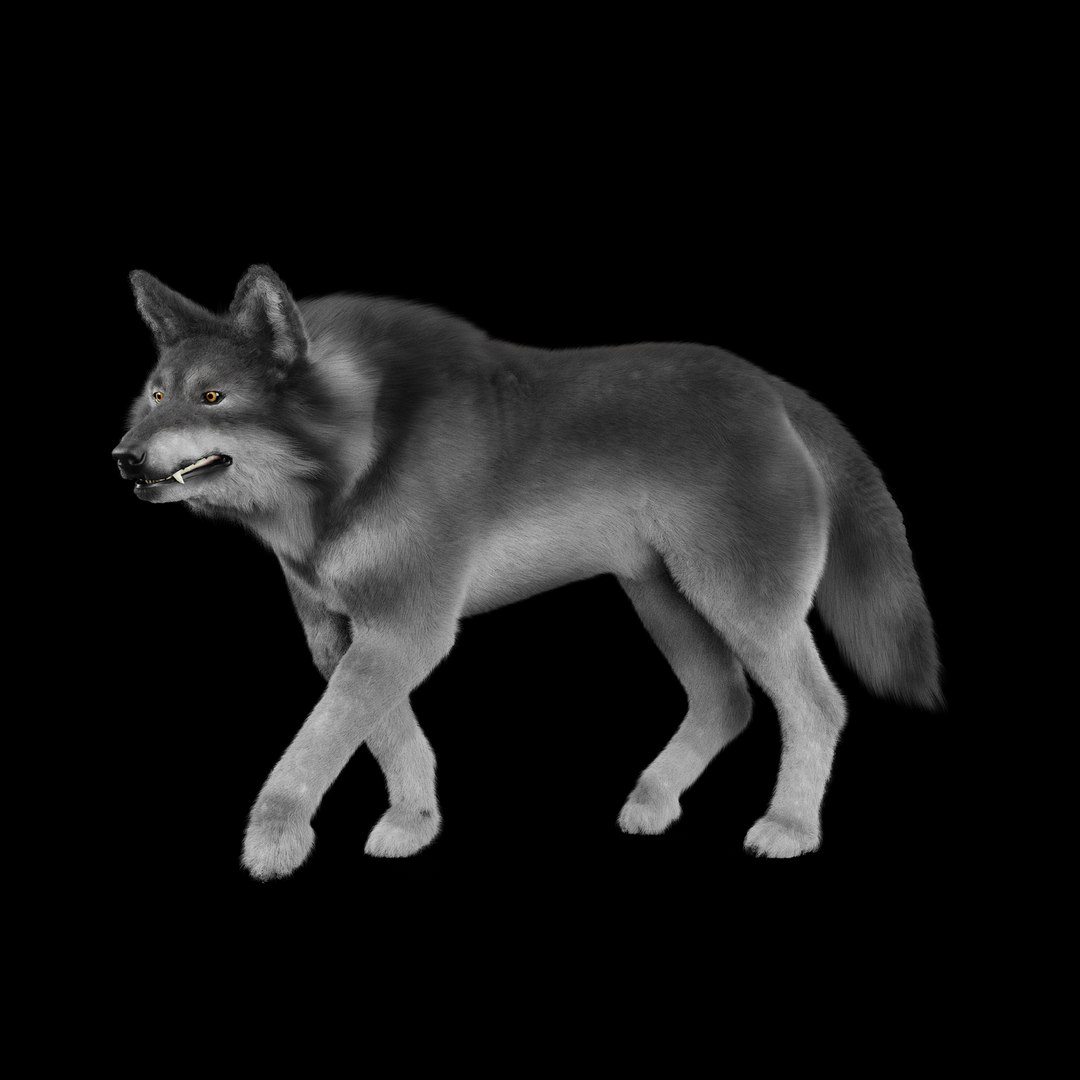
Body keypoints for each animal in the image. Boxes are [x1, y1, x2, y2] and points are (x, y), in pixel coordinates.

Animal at [114, 265, 942, 877]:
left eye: (212, 398)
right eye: (154, 395)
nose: (122, 456)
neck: (362, 449)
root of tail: (777, 391)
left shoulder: (408, 630)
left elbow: (316, 742)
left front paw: (274, 841)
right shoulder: (344, 635)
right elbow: (389, 734)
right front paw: (413, 822)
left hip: (740, 601)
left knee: (816, 706)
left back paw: (789, 825)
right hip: (664, 597)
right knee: (726, 702)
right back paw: (654, 799)